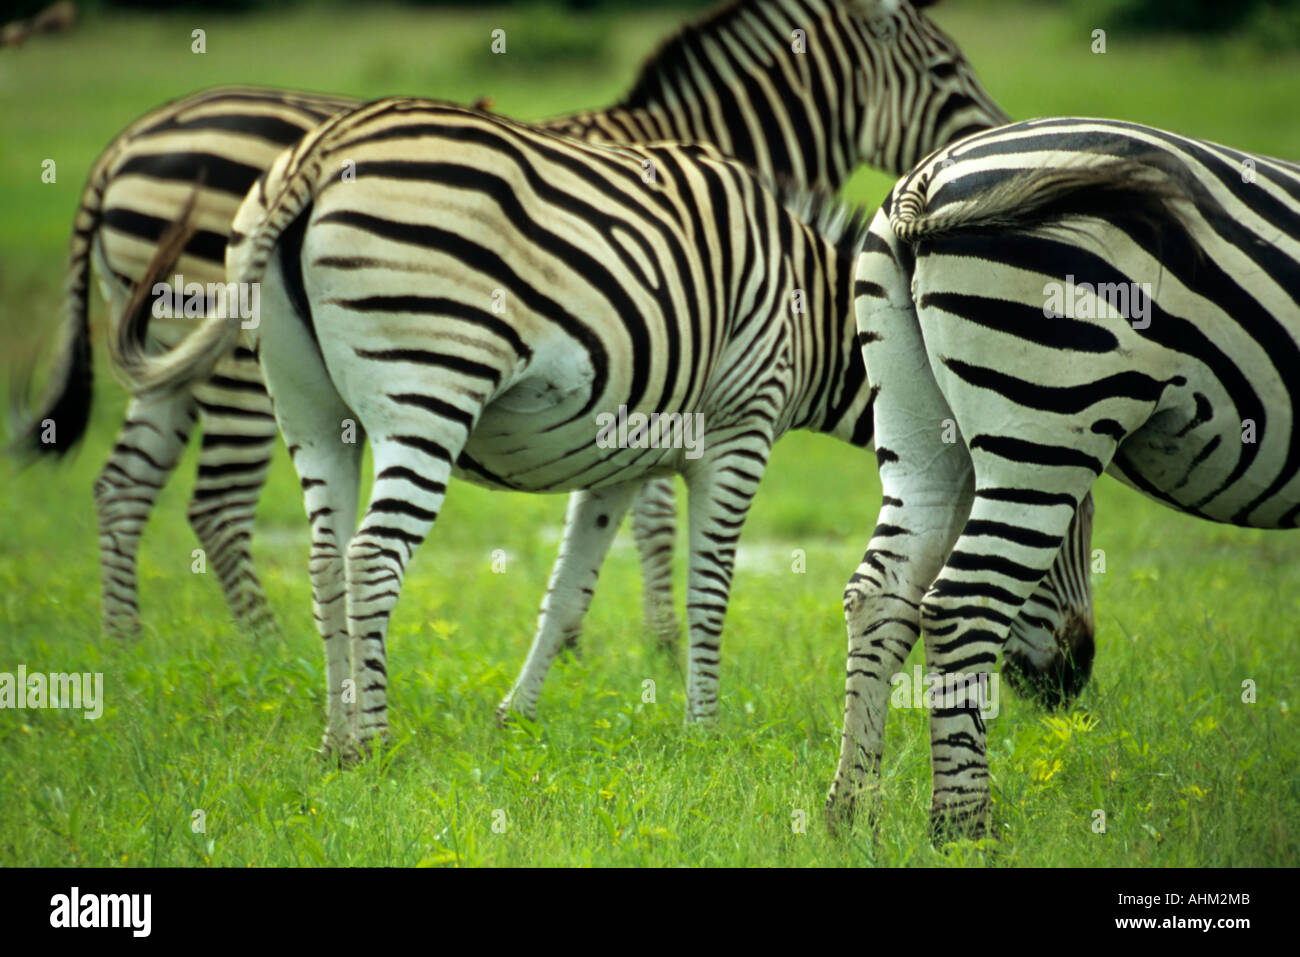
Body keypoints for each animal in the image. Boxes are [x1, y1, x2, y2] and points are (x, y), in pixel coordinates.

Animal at [14, 0, 1046, 676]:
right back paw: (270, 657)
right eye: (947, 74)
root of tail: (124, 143)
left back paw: (127, 648)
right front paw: (655, 646)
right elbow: (655, 517)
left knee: (122, 488)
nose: (1004, 156)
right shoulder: (670, 339)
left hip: (170, 359)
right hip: (234, 367)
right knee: (218, 509)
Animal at [826, 116, 1300, 839]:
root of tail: (924, 183)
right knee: (960, 607)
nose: (1073, 677)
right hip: (1050, 414)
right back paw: (964, 832)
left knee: (878, 594)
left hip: (918, 426)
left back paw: (852, 814)